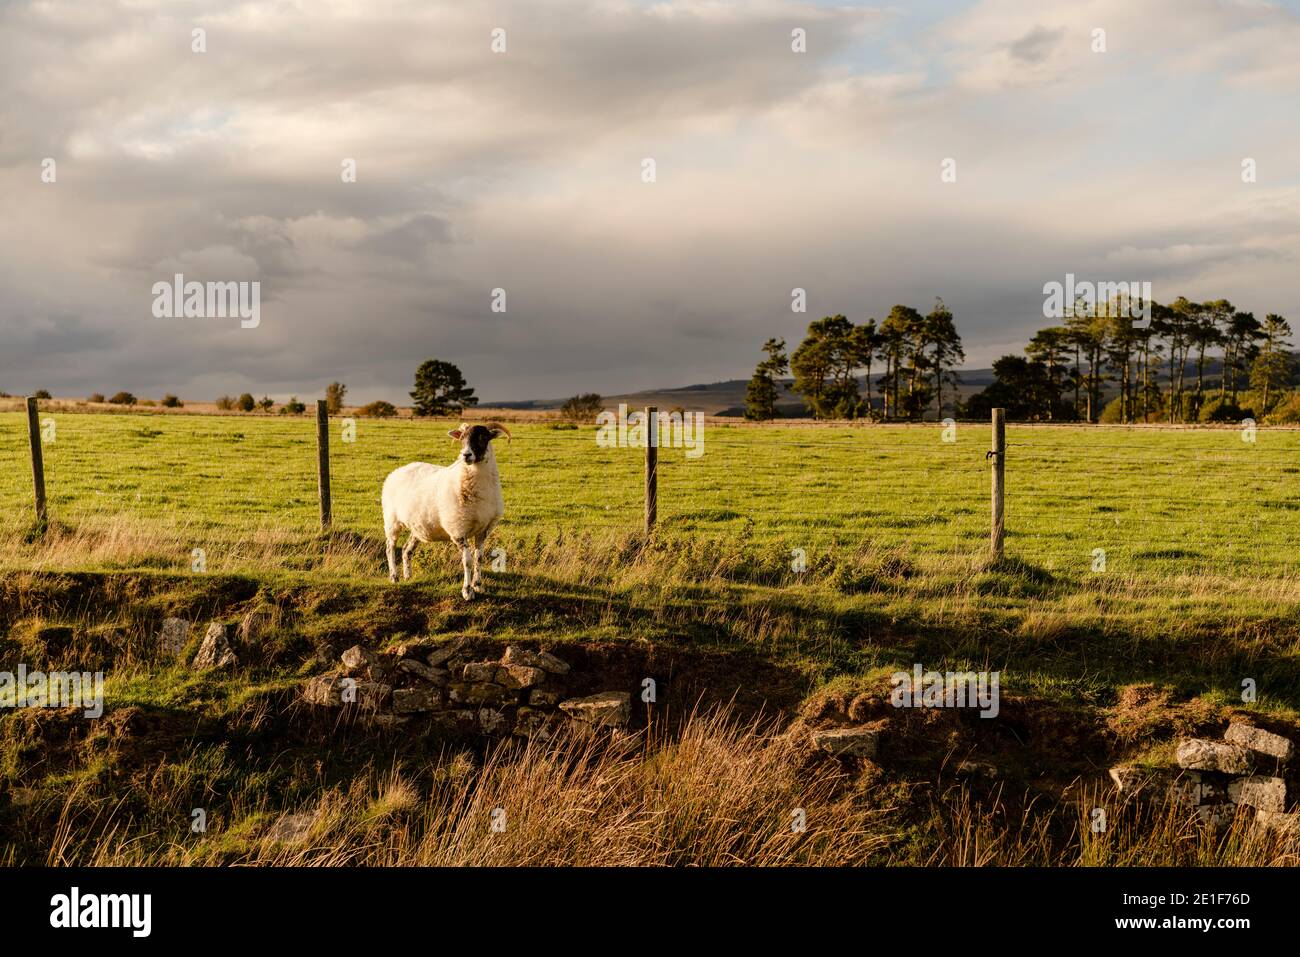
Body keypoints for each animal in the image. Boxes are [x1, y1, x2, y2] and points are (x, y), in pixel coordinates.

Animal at [382, 423, 510, 599]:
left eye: (483, 437)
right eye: (462, 439)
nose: (466, 455)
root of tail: (397, 471)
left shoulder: (484, 530)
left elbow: (479, 558)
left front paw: (478, 586)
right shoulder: (458, 529)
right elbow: (467, 560)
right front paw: (467, 591)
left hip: (416, 526)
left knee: (407, 550)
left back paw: (408, 576)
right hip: (392, 521)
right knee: (390, 547)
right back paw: (394, 577)